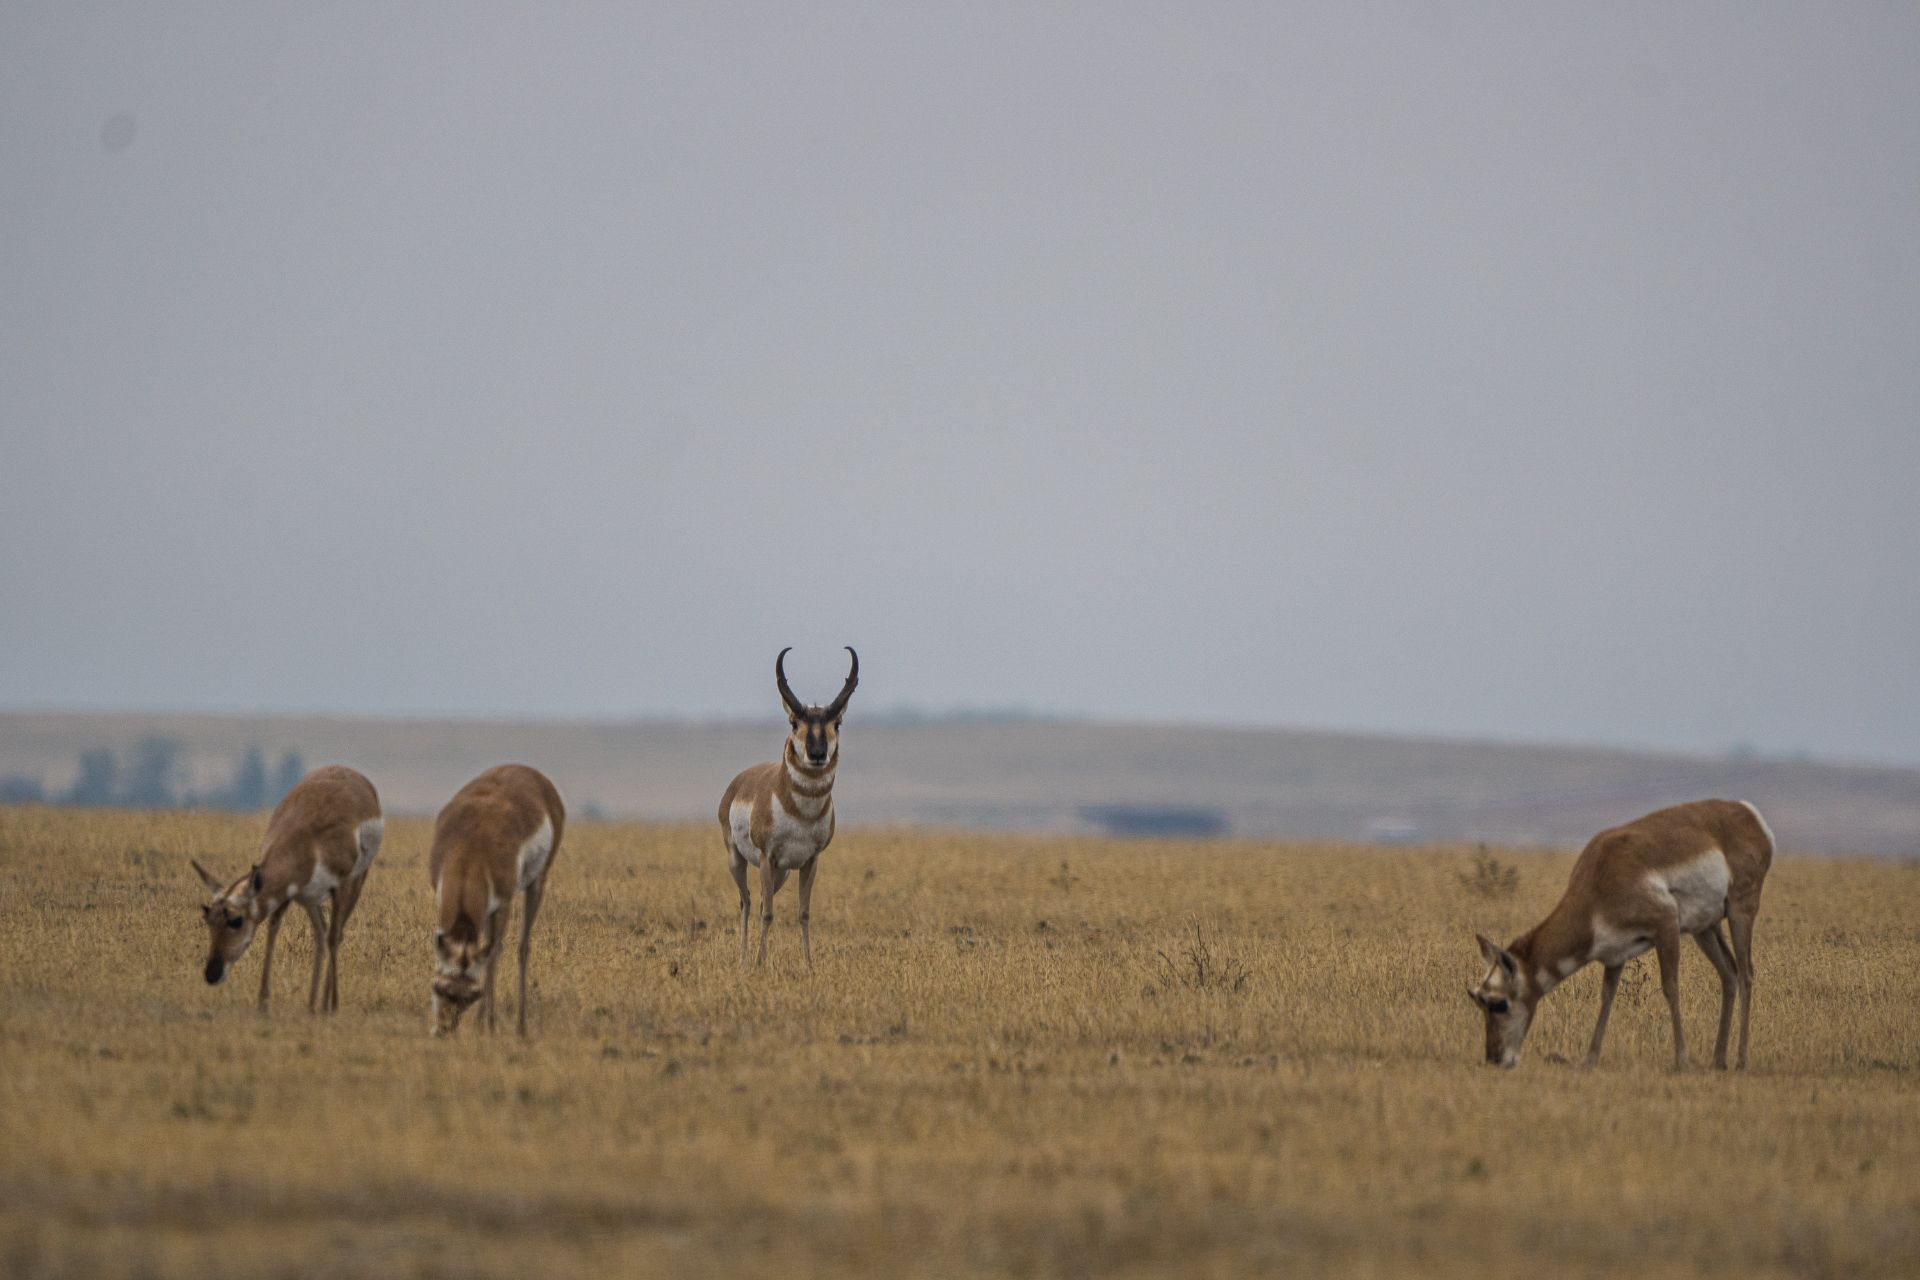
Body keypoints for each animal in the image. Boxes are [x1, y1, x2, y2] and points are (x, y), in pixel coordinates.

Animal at [191, 764, 383, 1013]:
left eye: (236, 920)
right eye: (208, 919)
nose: (211, 974)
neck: (306, 839)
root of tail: (348, 771)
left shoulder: (339, 887)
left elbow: (332, 937)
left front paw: (330, 1005)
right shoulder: (294, 895)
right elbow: (275, 928)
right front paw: (263, 1002)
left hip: (357, 882)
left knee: (335, 934)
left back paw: (326, 1003)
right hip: (313, 900)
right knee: (321, 934)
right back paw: (312, 1002)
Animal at [428, 764, 564, 1037]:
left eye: (471, 996)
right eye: (441, 988)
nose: (443, 1030)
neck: (468, 848)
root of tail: (530, 772)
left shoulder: (503, 904)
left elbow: (493, 956)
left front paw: (486, 1023)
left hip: (536, 885)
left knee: (522, 947)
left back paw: (521, 1026)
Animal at [719, 646, 858, 966]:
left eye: (837, 723)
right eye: (794, 722)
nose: (817, 754)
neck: (800, 814)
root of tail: (738, 781)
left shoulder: (809, 861)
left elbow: (803, 913)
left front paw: (809, 964)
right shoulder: (766, 858)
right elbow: (769, 914)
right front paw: (760, 963)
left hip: (781, 873)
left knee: (757, 902)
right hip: (738, 860)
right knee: (746, 900)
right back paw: (744, 958)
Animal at [1467, 798, 1774, 1070]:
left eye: (1499, 1003)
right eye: (1480, 1002)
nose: (1495, 1058)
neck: (1600, 876)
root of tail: (1749, 813)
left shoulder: (1666, 926)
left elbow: (1670, 988)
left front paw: (1682, 1061)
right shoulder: (1615, 956)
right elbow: (1607, 997)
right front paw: (1588, 1060)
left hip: (1740, 911)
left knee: (1746, 973)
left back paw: (1741, 1061)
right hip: (1705, 929)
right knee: (1729, 973)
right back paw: (1718, 1060)